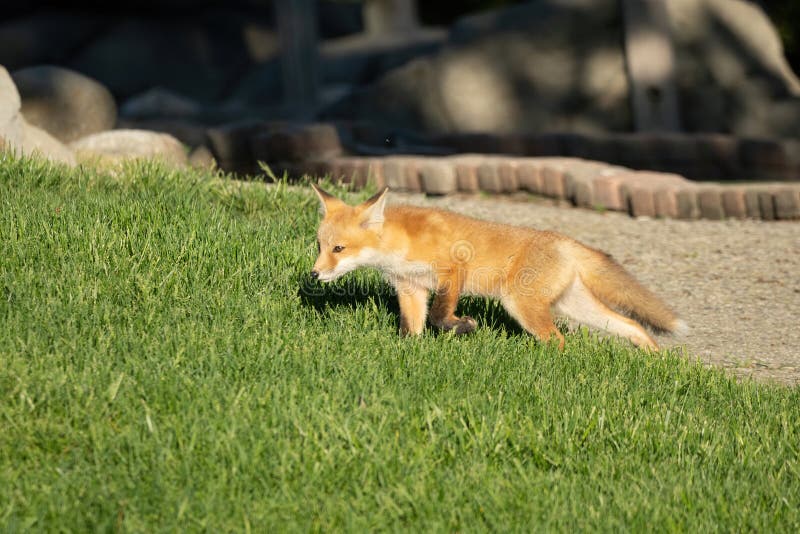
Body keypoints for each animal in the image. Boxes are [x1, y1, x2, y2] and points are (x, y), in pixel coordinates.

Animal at [309, 184, 686, 350]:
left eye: (339, 249)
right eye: (320, 246)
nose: (314, 273)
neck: (400, 244)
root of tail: (562, 239)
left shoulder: (453, 269)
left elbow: (440, 316)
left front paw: (463, 327)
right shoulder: (410, 288)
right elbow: (411, 328)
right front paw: (410, 353)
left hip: (521, 304)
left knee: (559, 340)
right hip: (574, 305)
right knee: (631, 325)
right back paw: (653, 359)